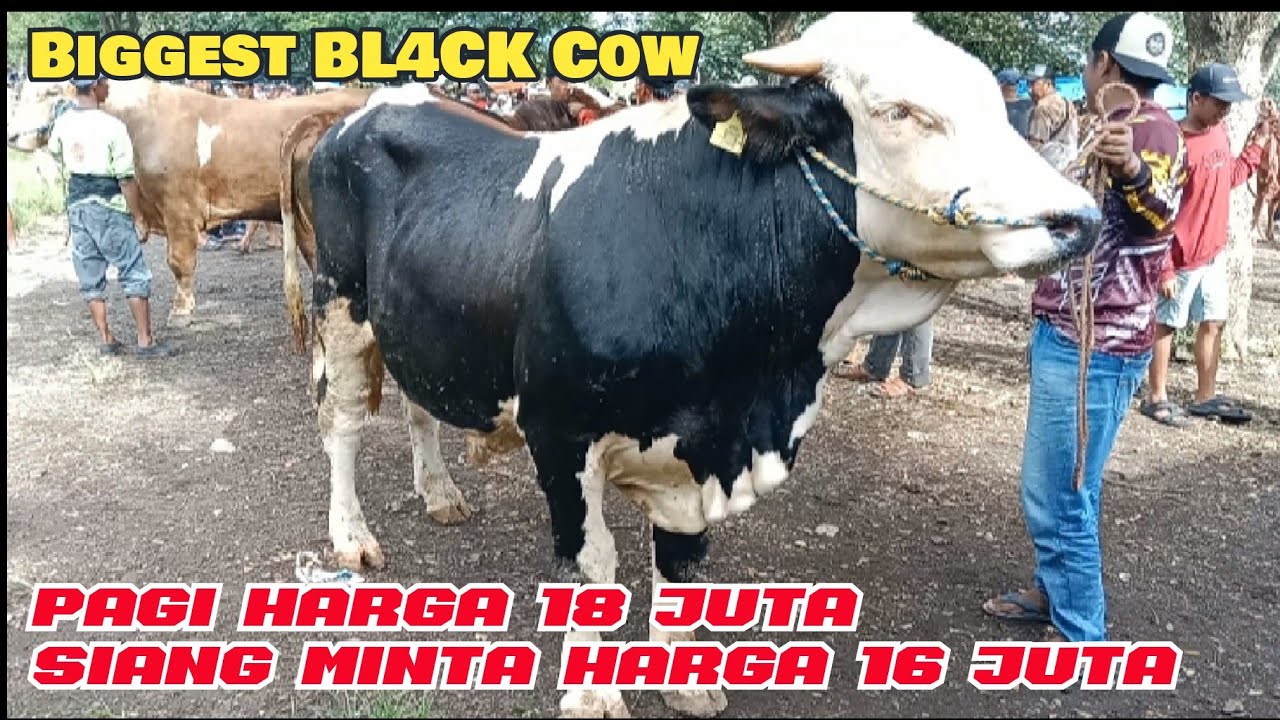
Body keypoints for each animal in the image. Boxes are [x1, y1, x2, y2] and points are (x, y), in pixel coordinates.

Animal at [295, 12, 1102, 717]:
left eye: (996, 106)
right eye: (900, 112)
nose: (1081, 219)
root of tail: (371, 105)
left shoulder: (702, 447)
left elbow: (681, 565)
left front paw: (682, 681)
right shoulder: (561, 431)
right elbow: (592, 566)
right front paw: (592, 696)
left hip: (421, 321)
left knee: (417, 405)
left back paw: (440, 493)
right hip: (341, 306)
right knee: (340, 425)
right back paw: (352, 536)